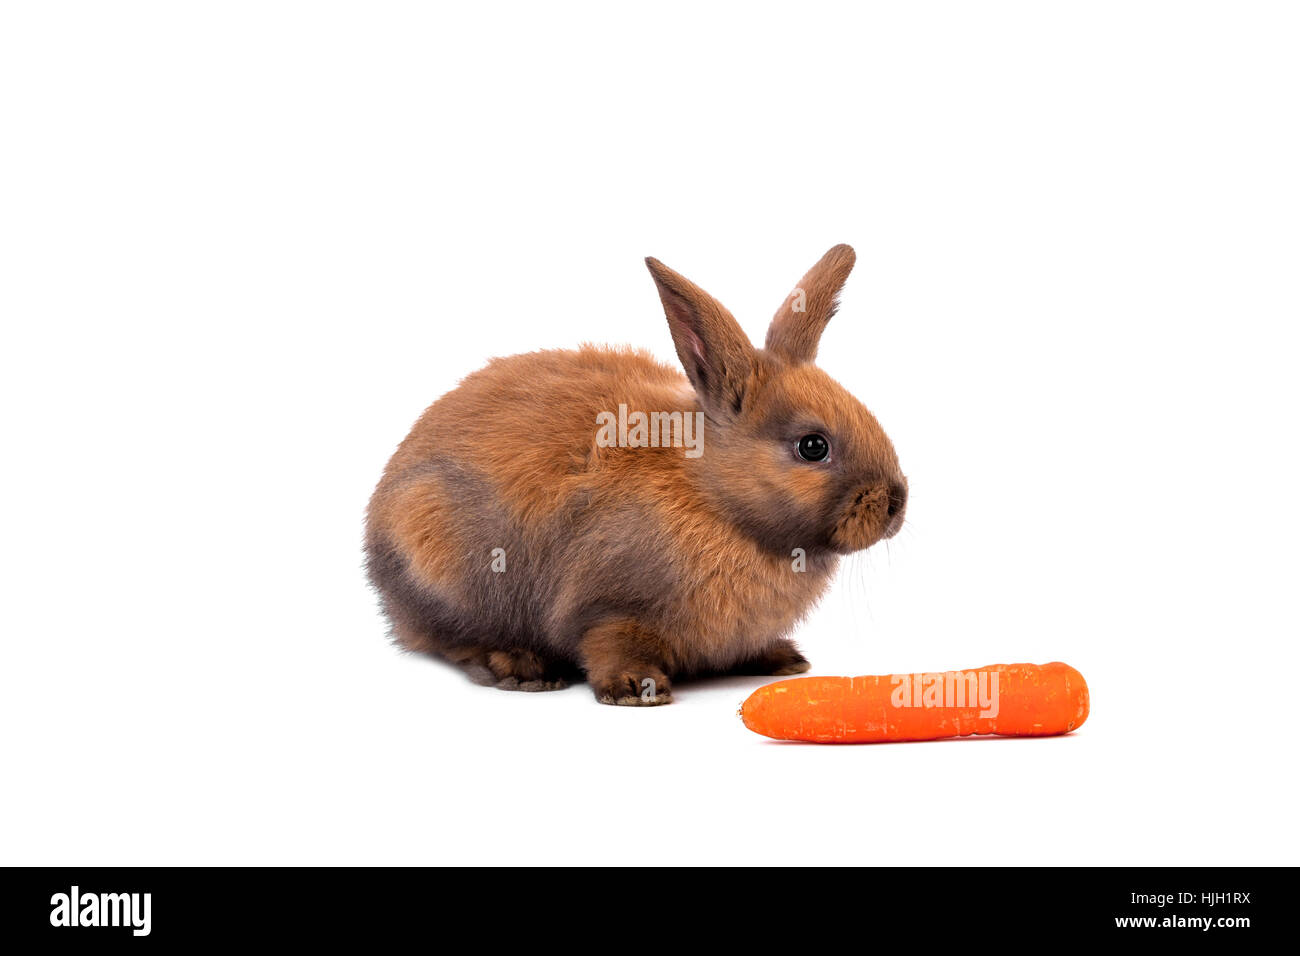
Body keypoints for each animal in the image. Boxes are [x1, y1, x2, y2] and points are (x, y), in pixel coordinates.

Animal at [365, 244, 907, 705]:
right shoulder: (610, 608)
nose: (896, 503)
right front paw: (634, 689)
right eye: (813, 446)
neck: (712, 497)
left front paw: (783, 659)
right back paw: (521, 668)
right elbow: (610, 643)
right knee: (450, 639)